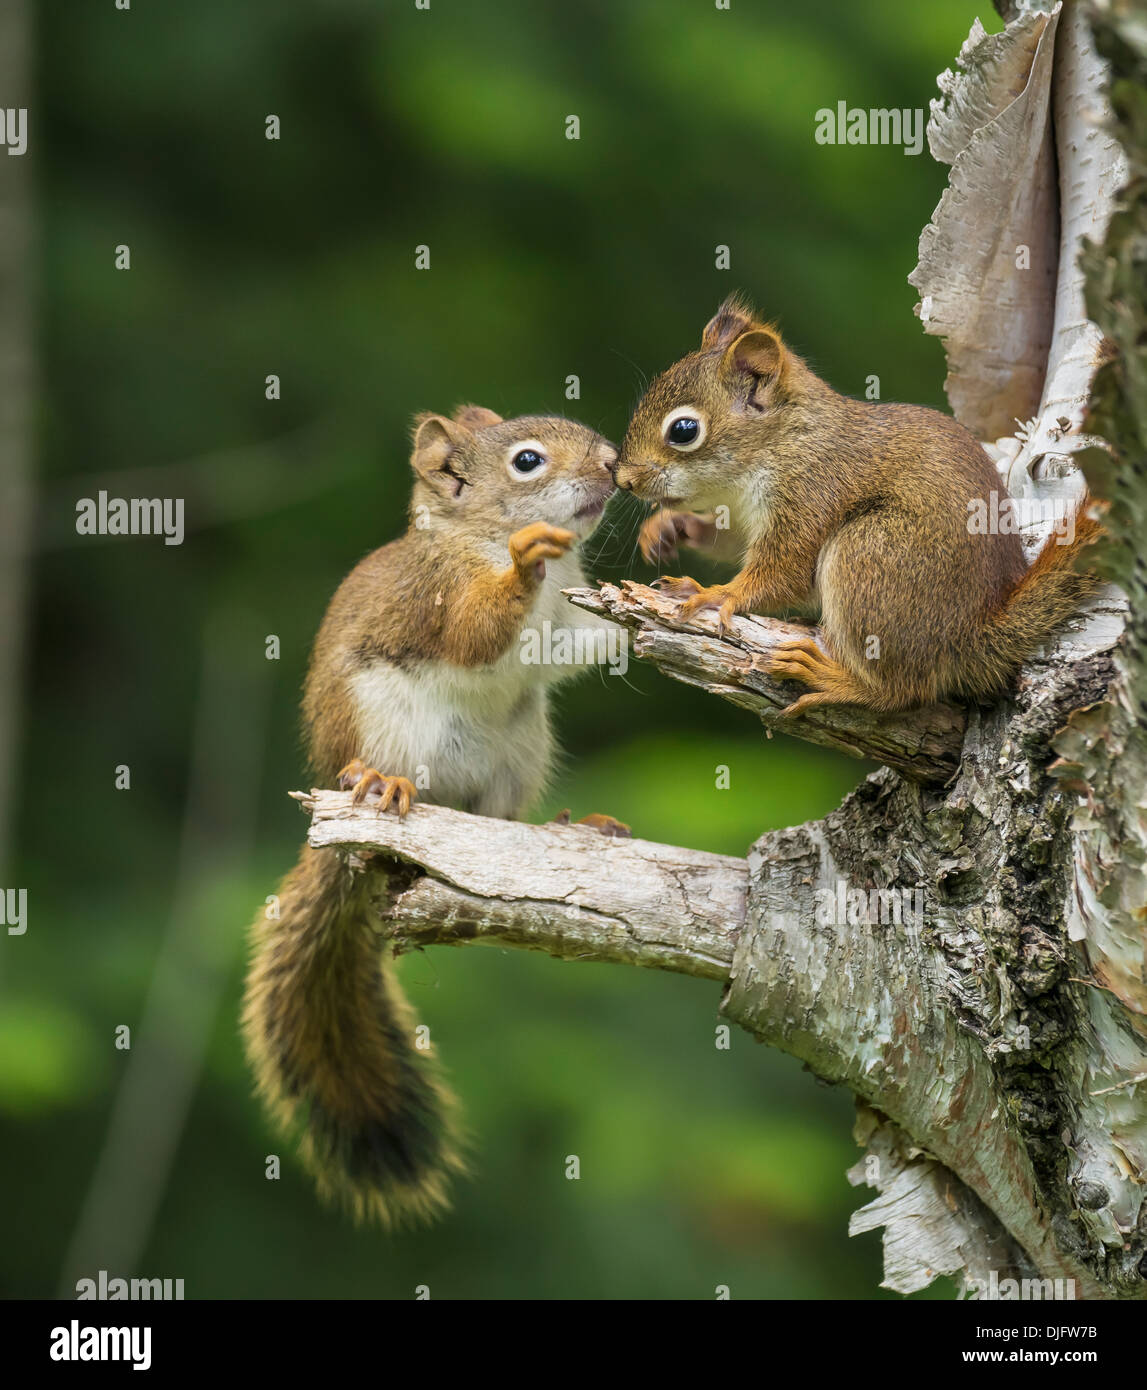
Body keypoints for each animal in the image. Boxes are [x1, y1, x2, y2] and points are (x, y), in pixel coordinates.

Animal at [242, 404, 625, 1226]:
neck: (471, 537)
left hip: (521, 747)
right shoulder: (439, 595)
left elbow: (587, 646)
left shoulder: (567, 624)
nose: (614, 464)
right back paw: (379, 785)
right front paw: (523, 563)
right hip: (383, 721)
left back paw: (563, 828)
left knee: (501, 820)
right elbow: (476, 631)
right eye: (526, 461)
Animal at [616, 294, 1101, 715]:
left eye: (683, 430)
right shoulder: (742, 515)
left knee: (903, 691)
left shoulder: (812, 491)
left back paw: (831, 677)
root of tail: (974, 633)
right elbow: (727, 541)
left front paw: (720, 593)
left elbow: (783, 573)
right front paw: (668, 528)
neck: (782, 441)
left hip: (869, 553)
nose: (622, 480)